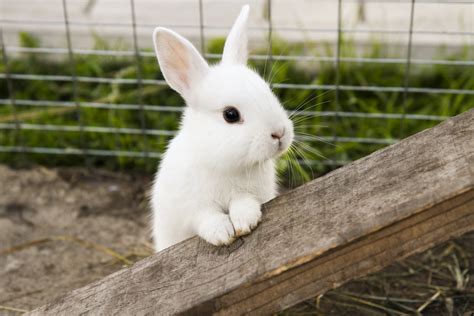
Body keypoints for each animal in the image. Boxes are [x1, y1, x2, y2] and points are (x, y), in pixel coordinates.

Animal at [151, 4, 292, 252]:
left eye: (268, 91)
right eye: (230, 114)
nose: (279, 133)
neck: (226, 165)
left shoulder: (253, 193)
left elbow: (244, 202)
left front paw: (245, 221)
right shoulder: (191, 208)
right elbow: (206, 217)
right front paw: (222, 233)